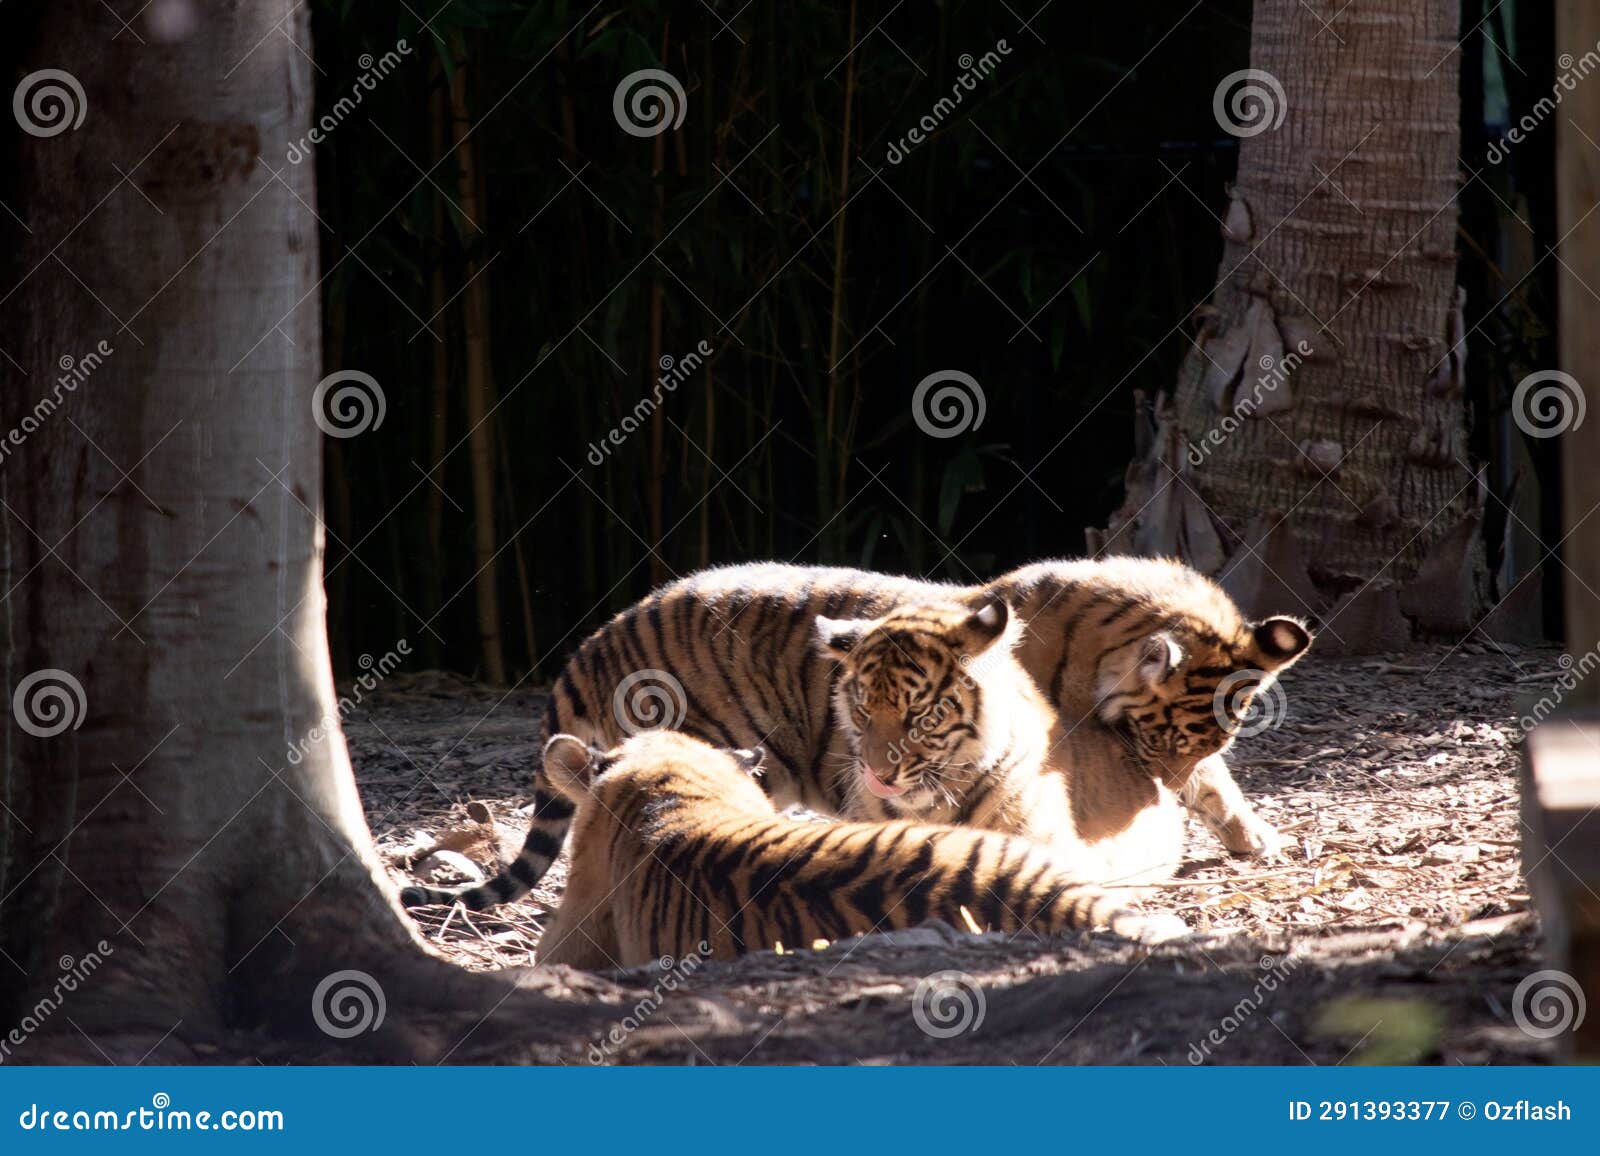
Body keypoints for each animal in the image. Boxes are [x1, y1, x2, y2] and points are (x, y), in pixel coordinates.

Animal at [400, 557, 1310, 911]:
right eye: (1156, 744)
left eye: (1198, 746)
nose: (1159, 782)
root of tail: (594, 644)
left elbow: (1221, 791)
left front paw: (1258, 838)